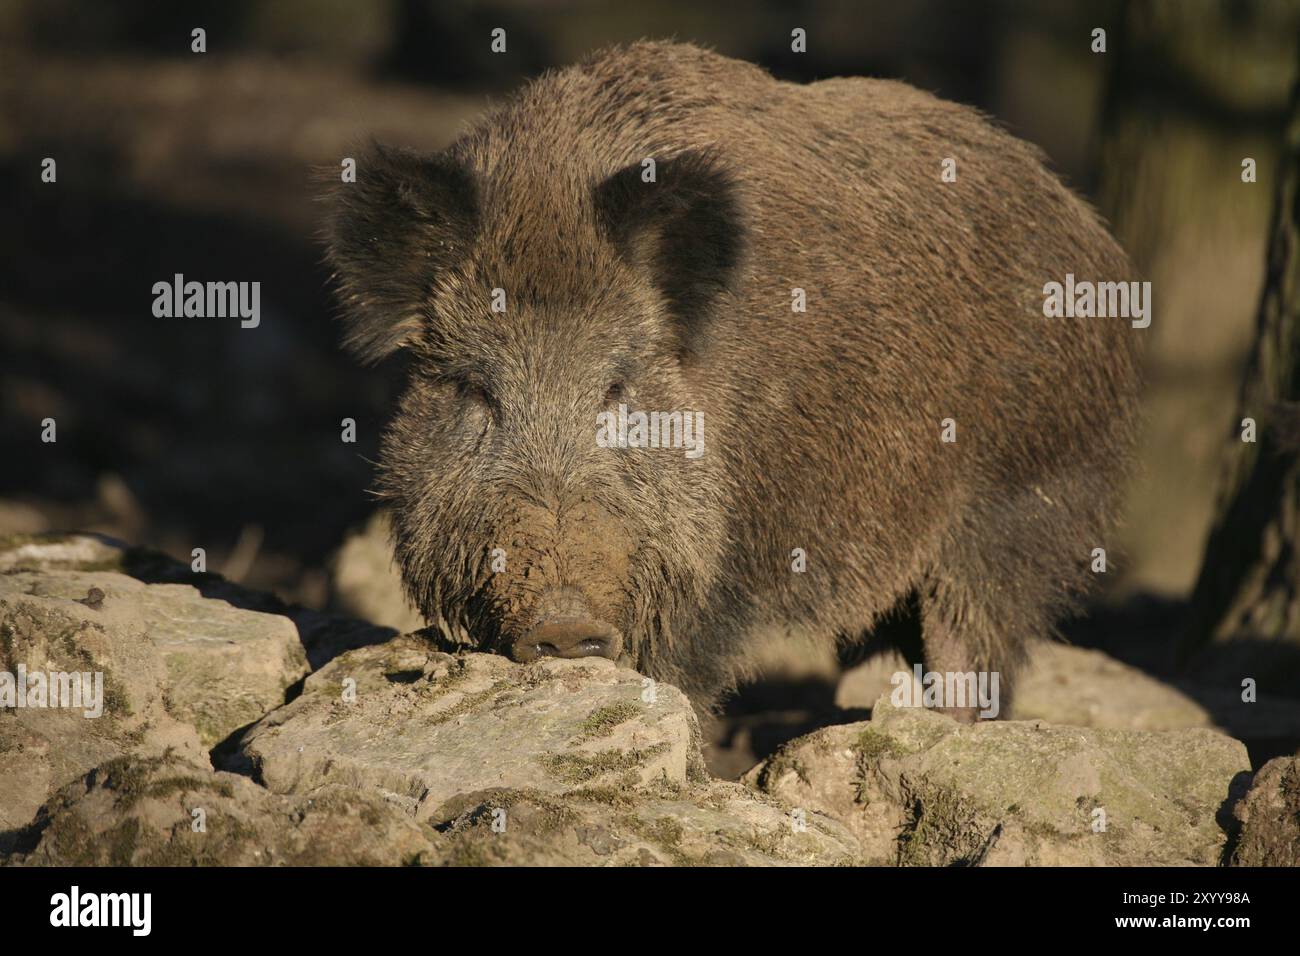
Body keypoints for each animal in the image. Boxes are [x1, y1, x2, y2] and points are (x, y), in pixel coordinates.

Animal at [323, 41, 1142, 718]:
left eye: (619, 390)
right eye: (476, 392)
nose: (564, 623)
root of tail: (1094, 239)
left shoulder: (727, 566)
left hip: (1024, 500)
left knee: (974, 647)